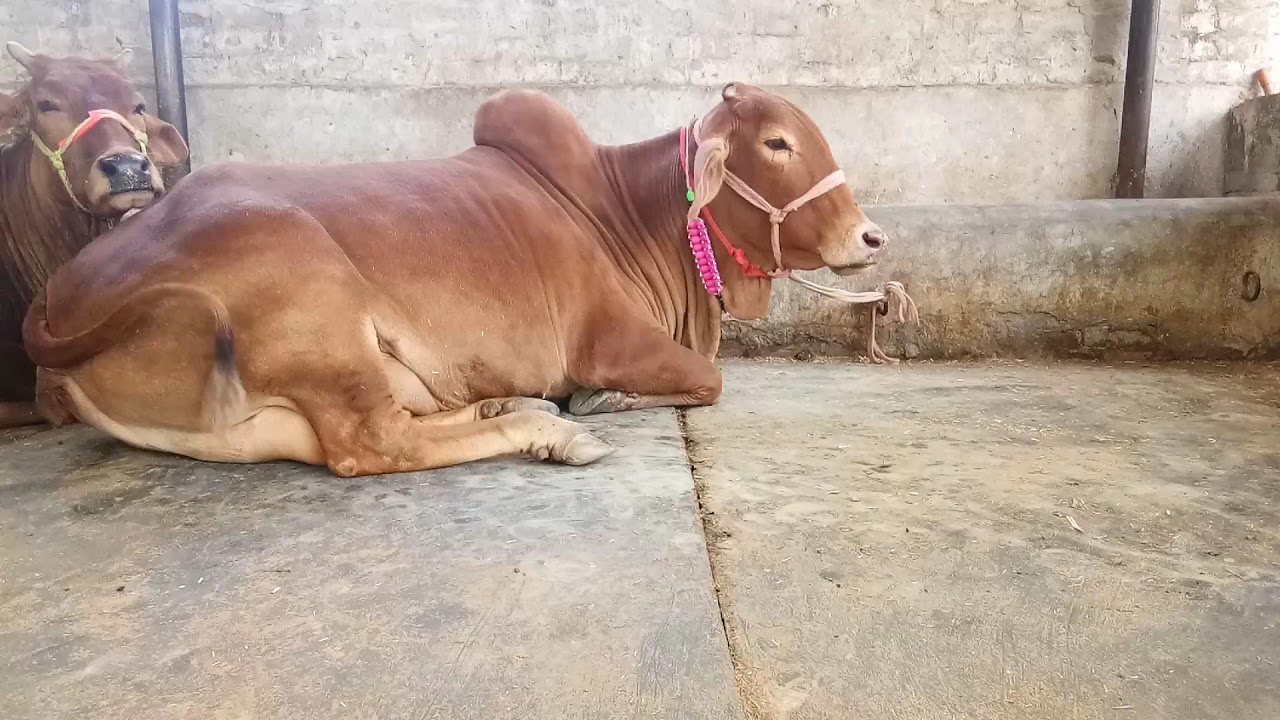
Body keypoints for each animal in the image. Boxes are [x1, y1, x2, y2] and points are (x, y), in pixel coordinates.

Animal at [24, 83, 889, 477]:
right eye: (776, 143)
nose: (869, 236)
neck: (628, 212)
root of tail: (64, 294)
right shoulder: (608, 339)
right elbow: (707, 380)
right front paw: (599, 402)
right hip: (310, 295)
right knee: (373, 444)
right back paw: (553, 429)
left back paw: (517, 405)